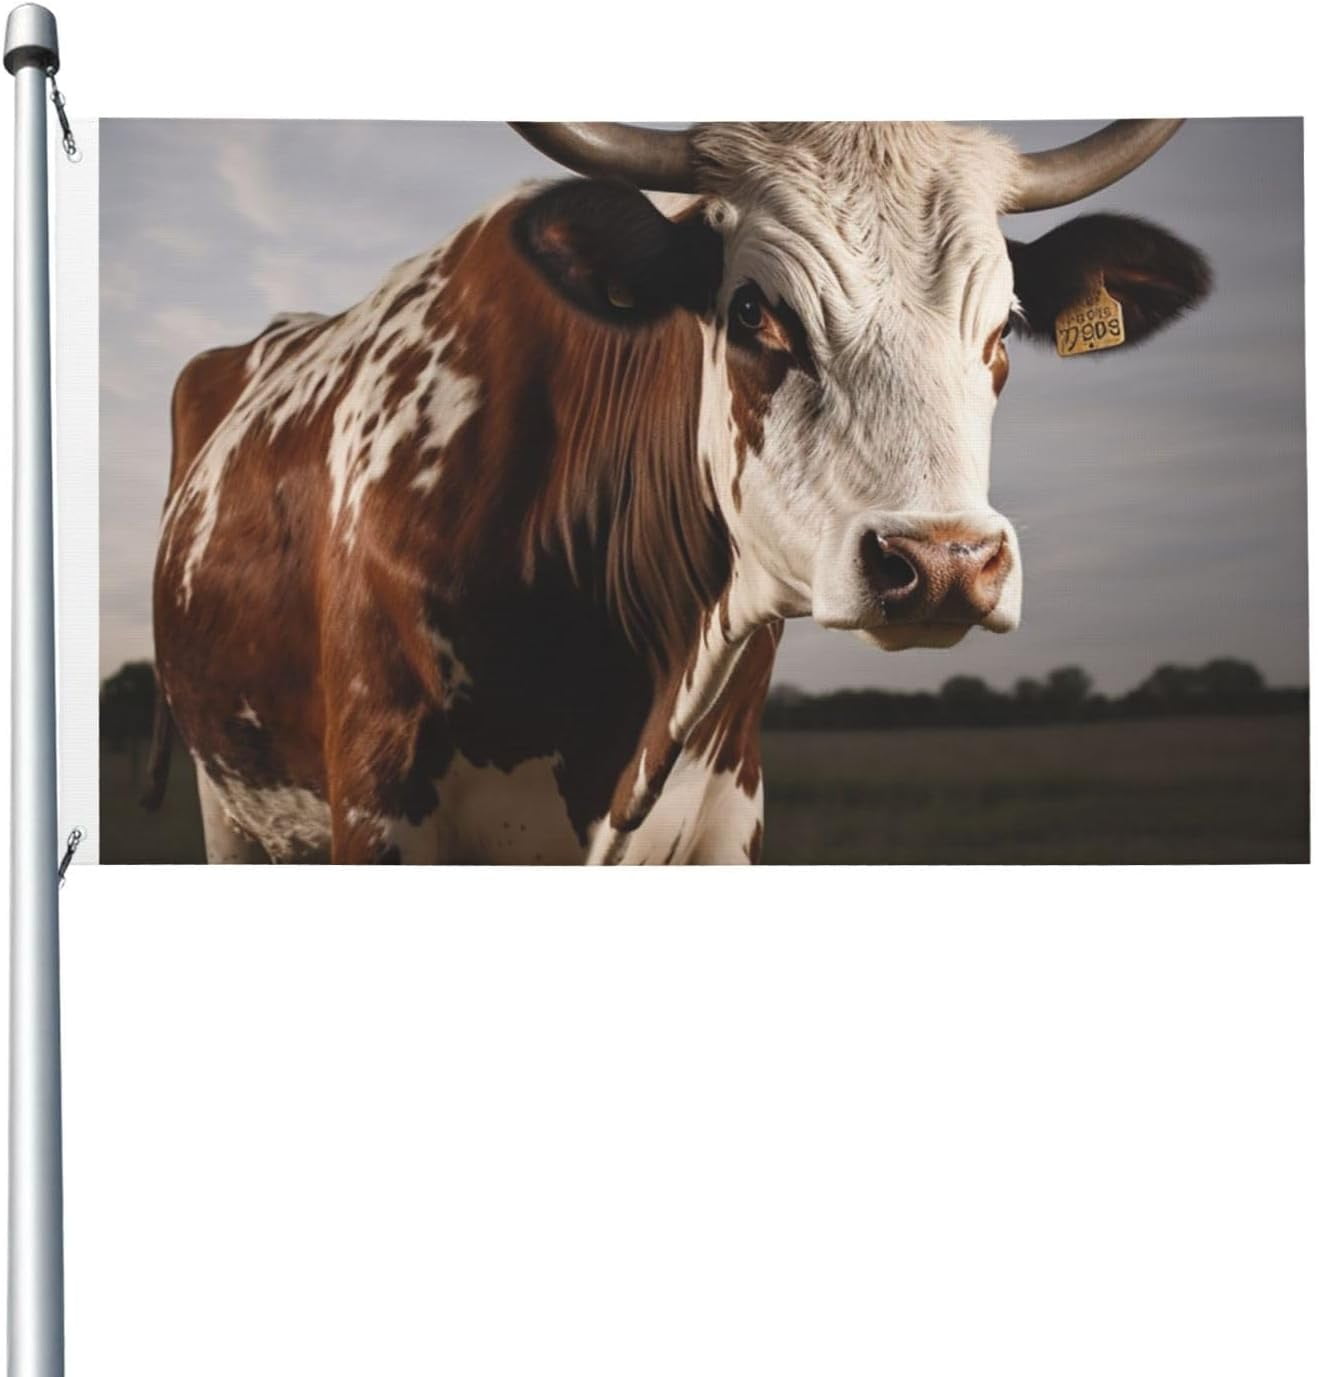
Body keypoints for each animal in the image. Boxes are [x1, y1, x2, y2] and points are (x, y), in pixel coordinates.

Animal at [145, 121, 1211, 864]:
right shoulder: (374, 806)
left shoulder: (728, 820)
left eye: (1001, 330)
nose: (946, 560)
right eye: (750, 312)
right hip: (227, 802)